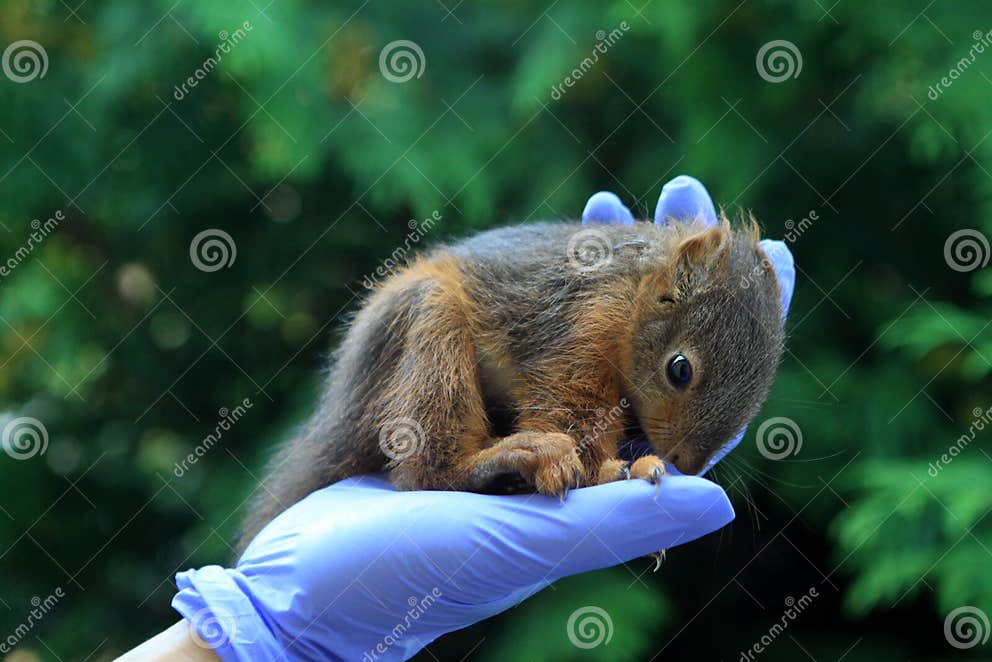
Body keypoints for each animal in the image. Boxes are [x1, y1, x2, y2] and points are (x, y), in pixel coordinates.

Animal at [238, 217, 785, 550]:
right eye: (679, 369)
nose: (687, 464)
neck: (633, 290)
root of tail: (339, 403)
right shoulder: (581, 327)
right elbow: (571, 412)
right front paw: (612, 474)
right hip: (427, 325)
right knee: (425, 471)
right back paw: (508, 460)